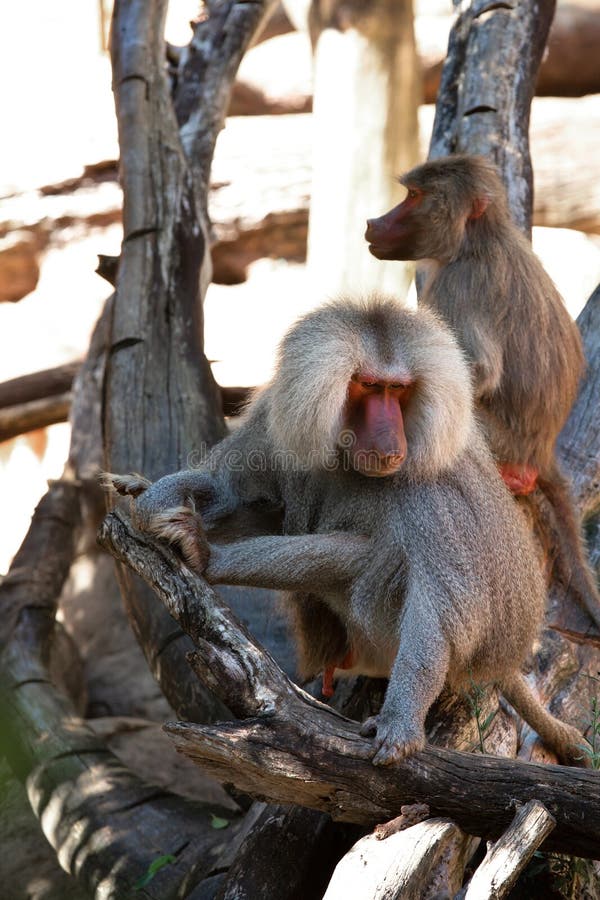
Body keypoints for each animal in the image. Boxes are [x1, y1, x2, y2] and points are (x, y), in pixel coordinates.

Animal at [103, 295, 586, 767]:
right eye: (370, 386)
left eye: (399, 389)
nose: (391, 442)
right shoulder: (276, 426)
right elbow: (234, 495)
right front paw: (153, 494)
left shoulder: (430, 490)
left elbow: (439, 607)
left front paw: (400, 725)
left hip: (383, 638)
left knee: (364, 556)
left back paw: (207, 556)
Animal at [365, 154, 600, 632]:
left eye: (413, 196)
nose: (373, 224)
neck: (476, 239)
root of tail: (542, 451)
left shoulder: (459, 284)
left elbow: (477, 373)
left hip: (503, 441)